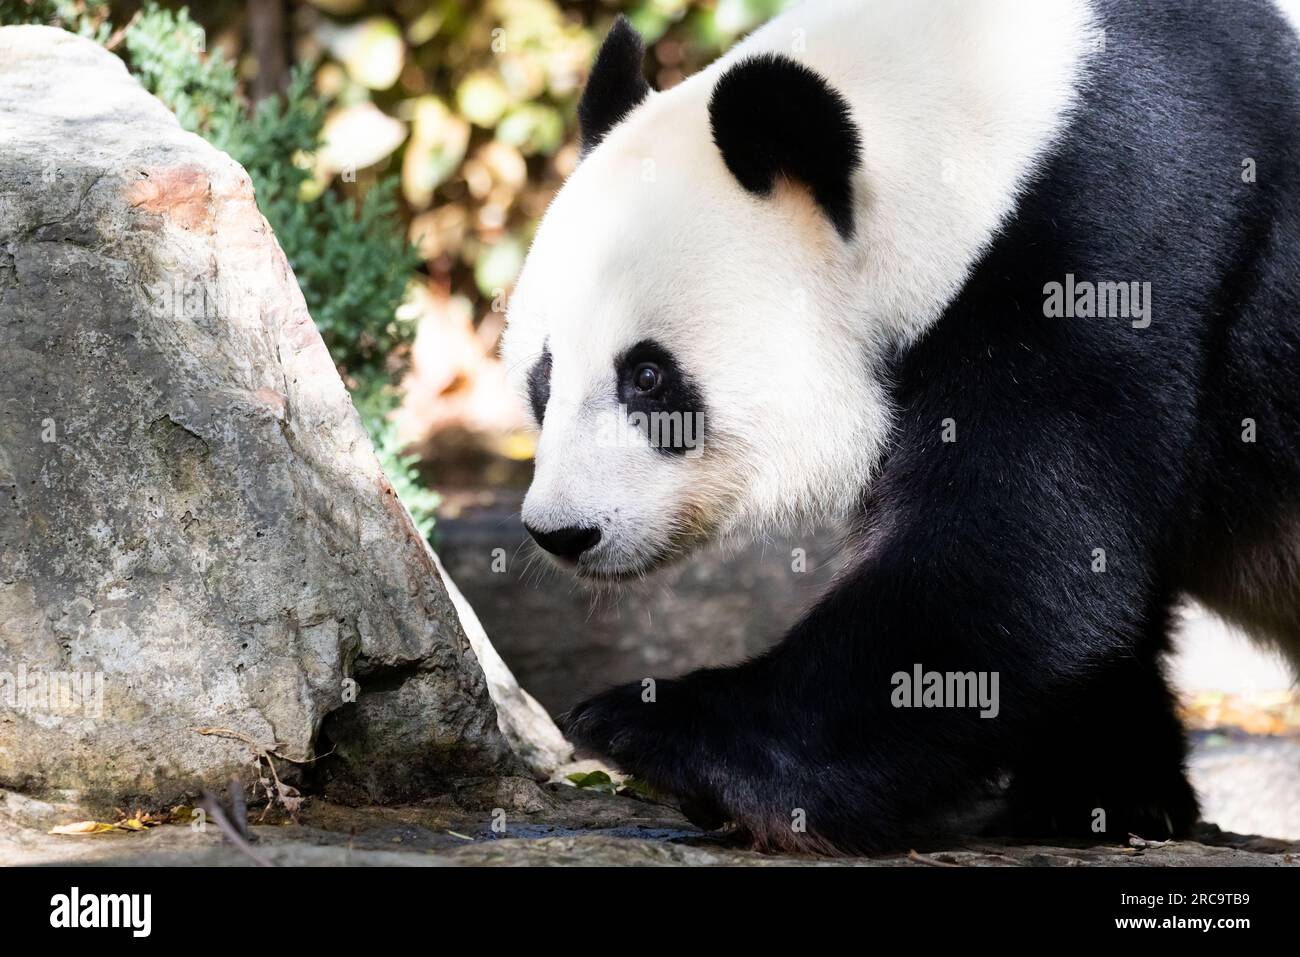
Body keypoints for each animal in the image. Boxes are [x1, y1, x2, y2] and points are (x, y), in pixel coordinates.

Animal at [500, 0, 1300, 854]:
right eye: (544, 375)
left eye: (647, 376)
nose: (564, 531)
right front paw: (1103, 790)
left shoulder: (1118, 232)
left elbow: (1014, 560)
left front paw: (658, 732)